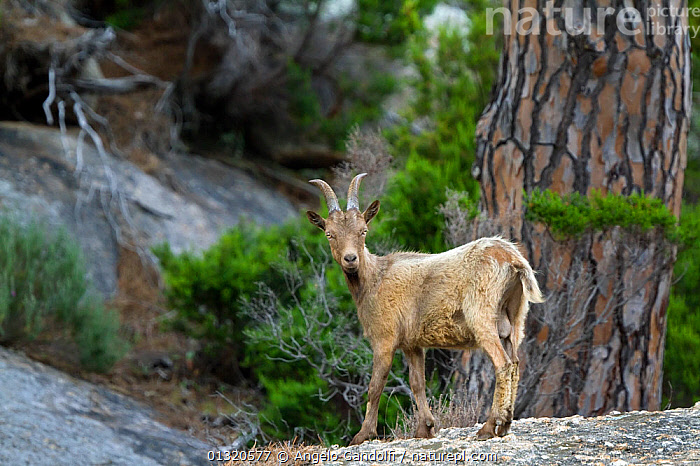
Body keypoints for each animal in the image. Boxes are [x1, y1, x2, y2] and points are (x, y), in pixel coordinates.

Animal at [306, 173, 544, 445]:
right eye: (329, 234)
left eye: (363, 231)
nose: (350, 259)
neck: (375, 279)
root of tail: (514, 260)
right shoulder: (412, 343)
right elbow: (417, 382)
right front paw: (425, 428)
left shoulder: (384, 338)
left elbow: (375, 385)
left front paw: (363, 435)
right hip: (515, 317)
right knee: (515, 363)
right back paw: (504, 424)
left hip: (482, 314)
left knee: (502, 364)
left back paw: (488, 427)